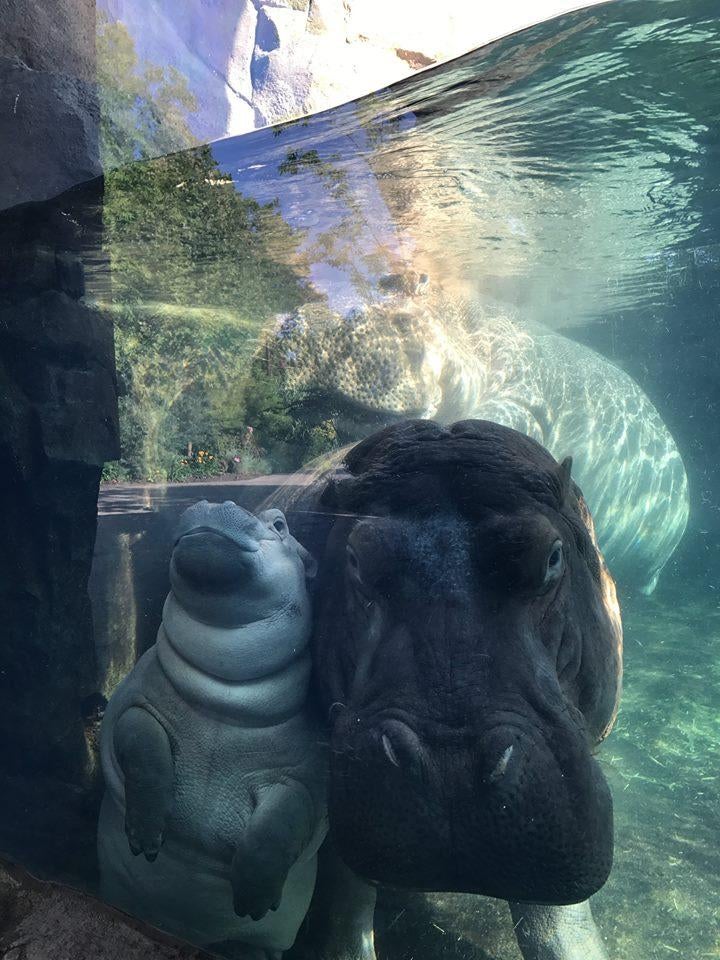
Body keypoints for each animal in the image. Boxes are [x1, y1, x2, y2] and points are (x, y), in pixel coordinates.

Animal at [97, 501, 327, 956]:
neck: (223, 691)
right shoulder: (134, 702)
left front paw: (253, 901)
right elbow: (143, 748)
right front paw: (145, 840)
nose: (219, 502)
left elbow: (282, 823)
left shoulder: (305, 777)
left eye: (280, 523)